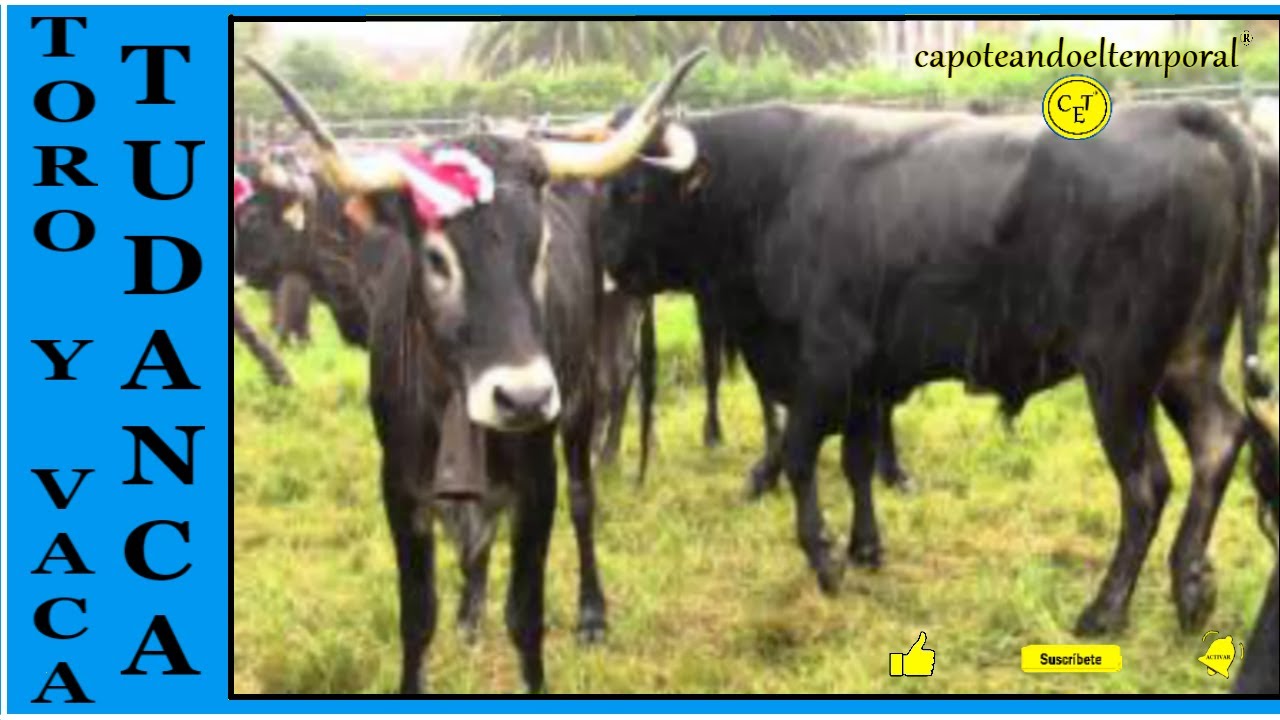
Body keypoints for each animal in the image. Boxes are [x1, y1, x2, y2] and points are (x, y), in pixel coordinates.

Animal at [246, 50, 705, 694]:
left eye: (540, 247)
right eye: (436, 256)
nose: (525, 398)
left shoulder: (537, 482)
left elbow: (526, 617)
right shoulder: (399, 487)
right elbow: (417, 616)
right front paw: (455, 620)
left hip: (583, 389)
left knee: (586, 488)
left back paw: (591, 609)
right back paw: (470, 611)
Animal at [595, 99, 1276, 637]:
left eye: (631, 190)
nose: (606, 268)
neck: (771, 189)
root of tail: (1179, 114)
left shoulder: (826, 364)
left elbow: (798, 456)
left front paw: (825, 559)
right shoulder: (865, 379)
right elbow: (858, 461)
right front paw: (866, 547)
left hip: (1120, 371)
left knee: (1145, 485)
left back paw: (1105, 610)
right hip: (1186, 359)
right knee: (1219, 440)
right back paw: (1191, 587)